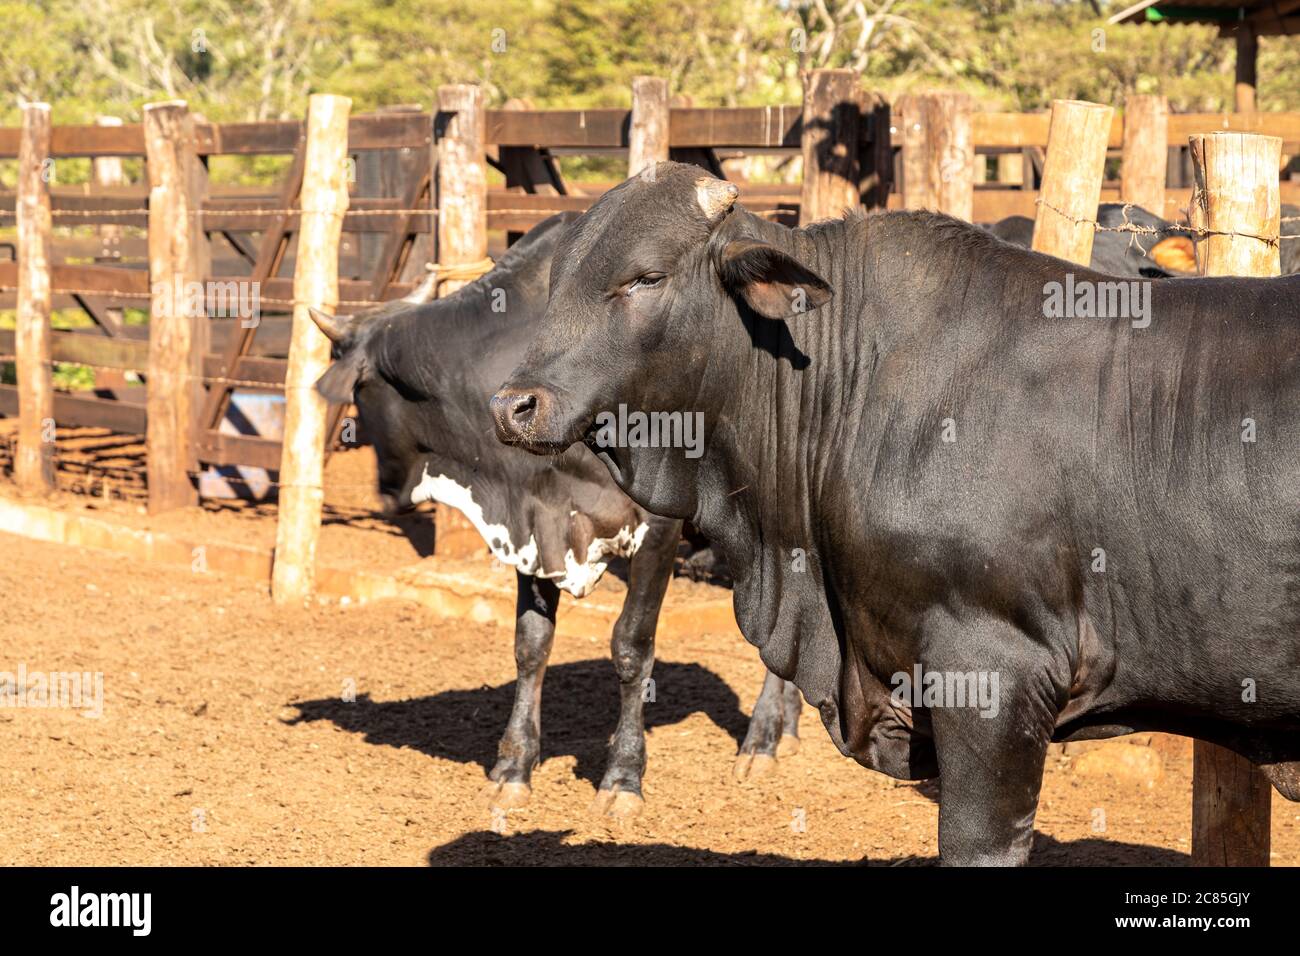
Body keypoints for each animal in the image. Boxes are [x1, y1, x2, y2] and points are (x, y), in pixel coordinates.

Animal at [308, 214, 801, 817]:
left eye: (361, 395)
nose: (383, 491)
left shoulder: (657, 531)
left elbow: (630, 647)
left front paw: (623, 775)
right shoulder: (534, 528)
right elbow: (530, 645)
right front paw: (514, 766)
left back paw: (762, 738)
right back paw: (788, 727)